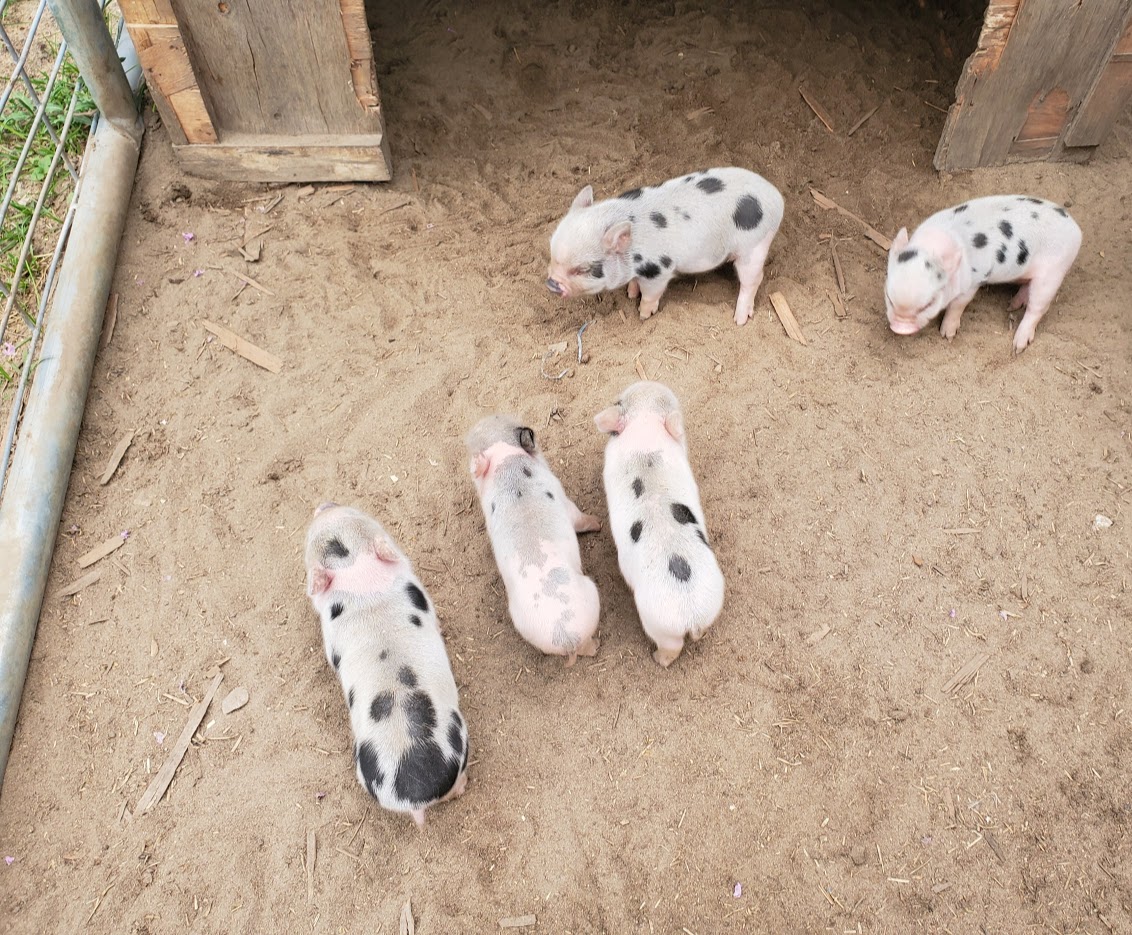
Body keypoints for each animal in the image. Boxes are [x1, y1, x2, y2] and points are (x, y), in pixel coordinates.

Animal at [466, 415, 602, 666]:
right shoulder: (564, 498)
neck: (505, 459)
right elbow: (578, 517)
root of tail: (567, 640)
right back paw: (596, 646)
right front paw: (598, 523)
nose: (476, 425)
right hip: (591, 591)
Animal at [546, 167, 784, 326]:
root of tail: (777, 197)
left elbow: (651, 294)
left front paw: (643, 314)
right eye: (551, 253)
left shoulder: (658, 270)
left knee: (753, 279)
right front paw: (630, 294)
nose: (551, 283)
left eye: (583, 269)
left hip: (755, 246)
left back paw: (739, 320)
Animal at [594, 382, 724, 667]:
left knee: (671, 648)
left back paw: (657, 659)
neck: (645, 428)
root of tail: (691, 615)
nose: (649, 382)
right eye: (619, 400)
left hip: (656, 623)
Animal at [885, 195, 1082, 353]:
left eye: (928, 304)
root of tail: (1076, 229)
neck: (934, 244)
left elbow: (958, 304)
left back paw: (1017, 346)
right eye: (889, 297)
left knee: (1038, 307)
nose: (900, 328)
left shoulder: (972, 282)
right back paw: (1011, 306)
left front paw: (947, 335)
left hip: (1054, 271)